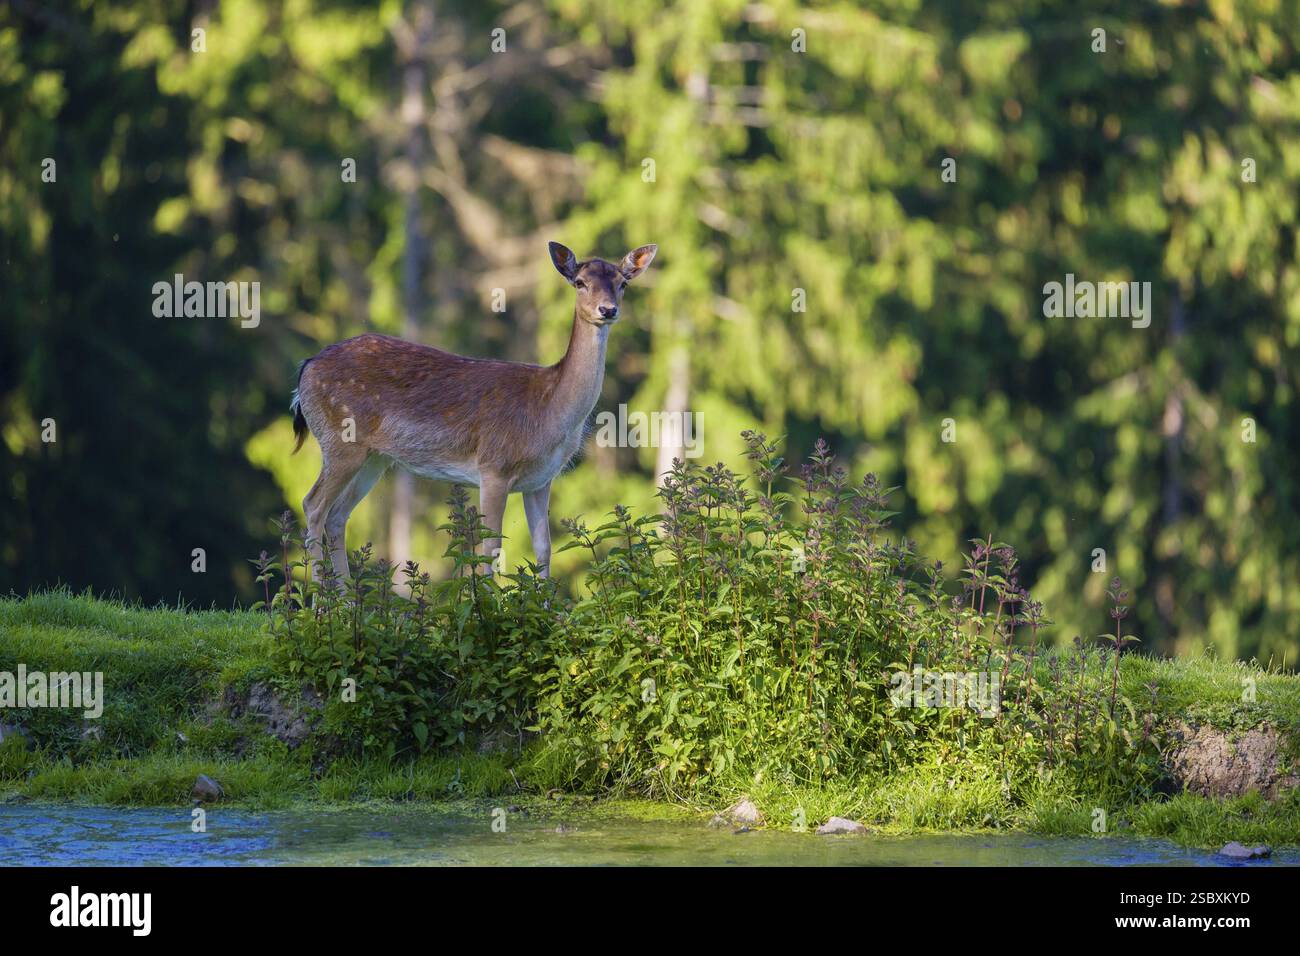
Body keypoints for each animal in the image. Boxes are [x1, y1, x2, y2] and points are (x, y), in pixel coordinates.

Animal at [289, 241, 657, 583]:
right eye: (580, 282)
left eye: (623, 283)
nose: (607, 309)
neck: (549, 411)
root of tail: (306, 368)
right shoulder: (494, 465)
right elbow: (490, 546)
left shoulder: (541, 480)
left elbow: (544, 549)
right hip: (339, 441)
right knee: (314, 504)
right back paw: (321, 602)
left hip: (375, 458)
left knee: (338, 514)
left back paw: (348, 601)